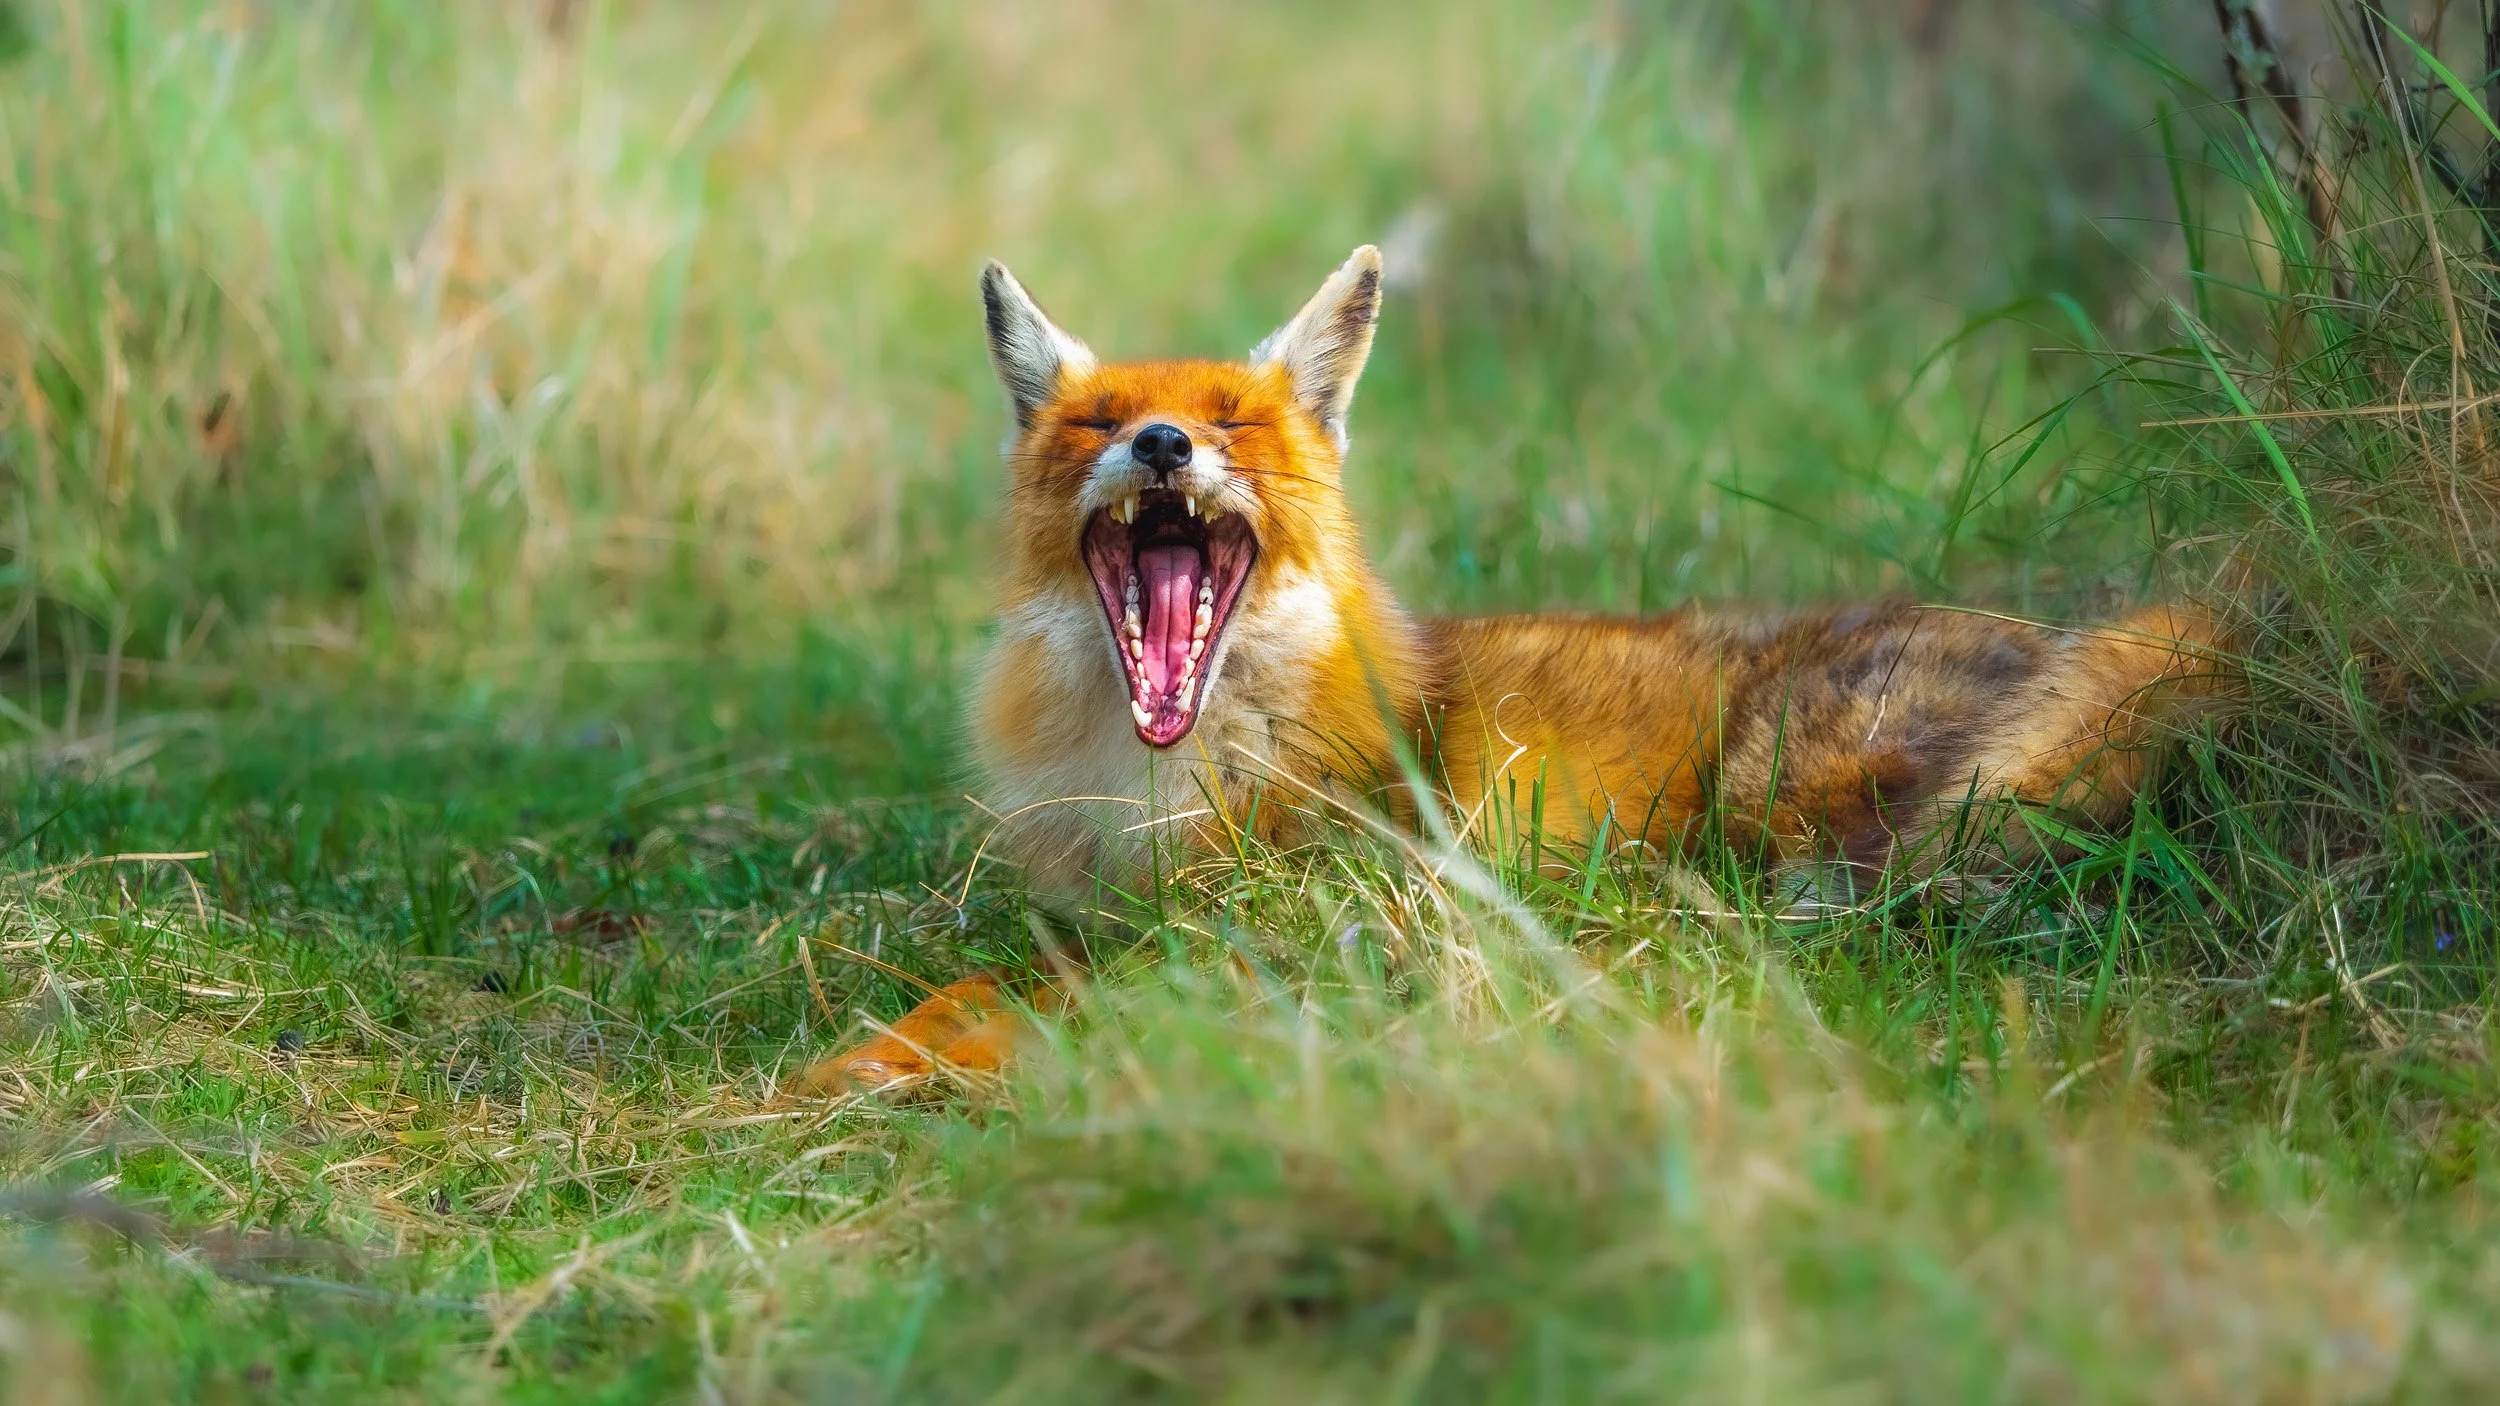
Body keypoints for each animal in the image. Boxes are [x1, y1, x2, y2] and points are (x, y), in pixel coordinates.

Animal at [802, 246, 2233, 1093]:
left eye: (1234, 423)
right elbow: (971, 978)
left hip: (1780, 792)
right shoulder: (1099, 915)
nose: (1161, 445)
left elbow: (1020, 1005)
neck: (1162, 777)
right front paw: (851, 1055)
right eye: (1099, 419)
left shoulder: (1272, 932)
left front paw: (879, 1070)